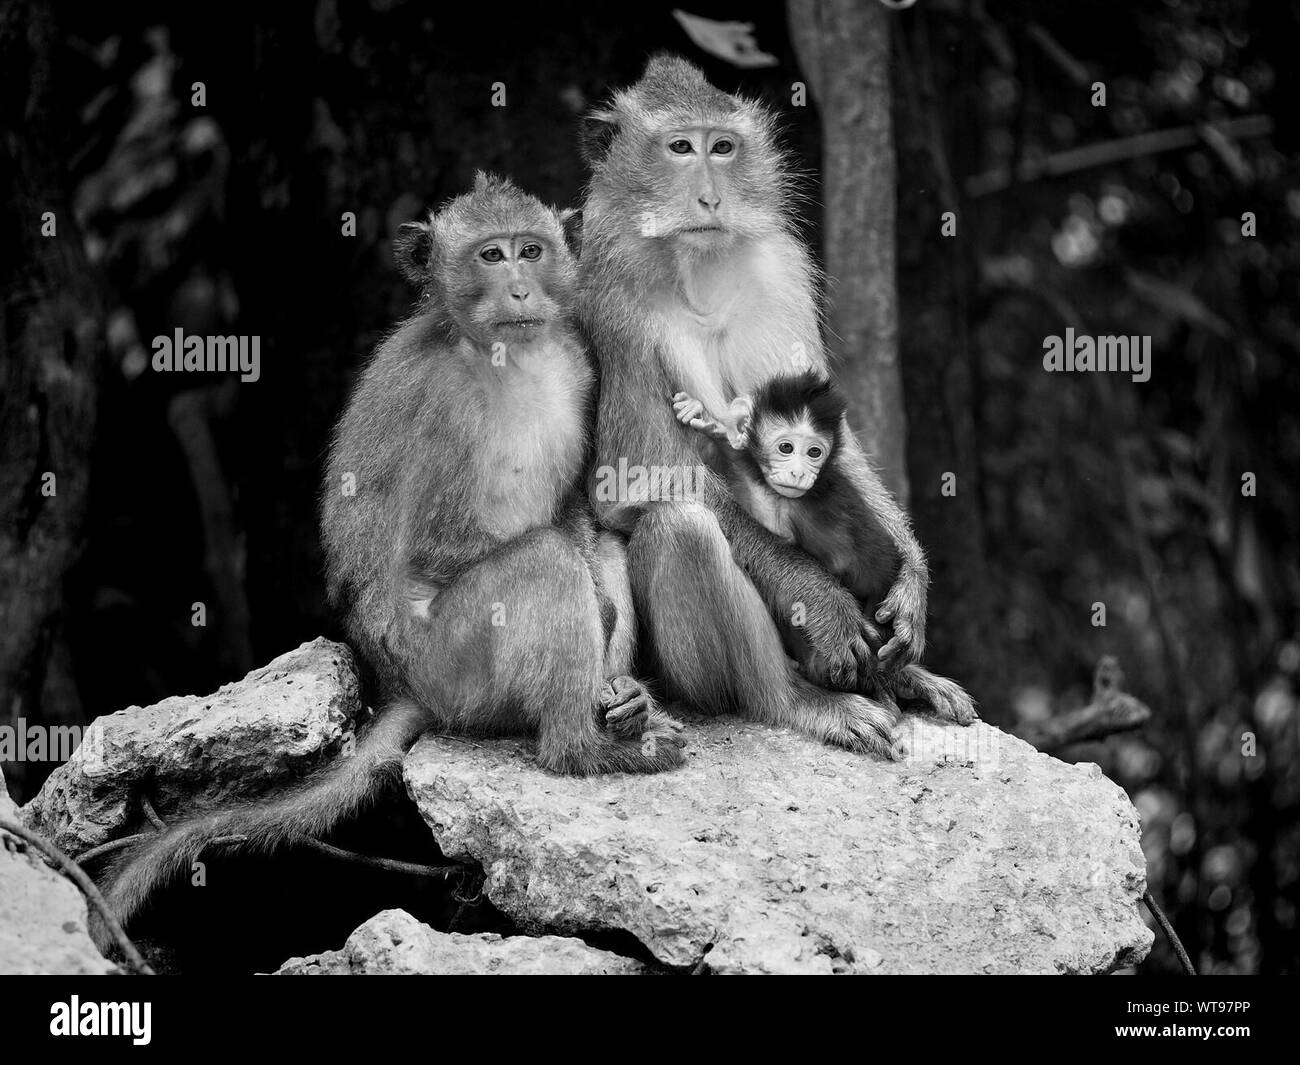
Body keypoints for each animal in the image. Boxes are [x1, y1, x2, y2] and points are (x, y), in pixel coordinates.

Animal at [93, 173, 685, 941]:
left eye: (530, 250)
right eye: (491, 255)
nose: (520, 288)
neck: (511, 356)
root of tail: (406, 684)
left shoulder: (581, 359)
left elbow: (583, 515)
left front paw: (622, 673)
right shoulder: (449, 404)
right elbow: (444, 542)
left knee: (592, 547)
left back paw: (622, 712)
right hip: (454, 664)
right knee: (543, 562)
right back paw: (580, 746)